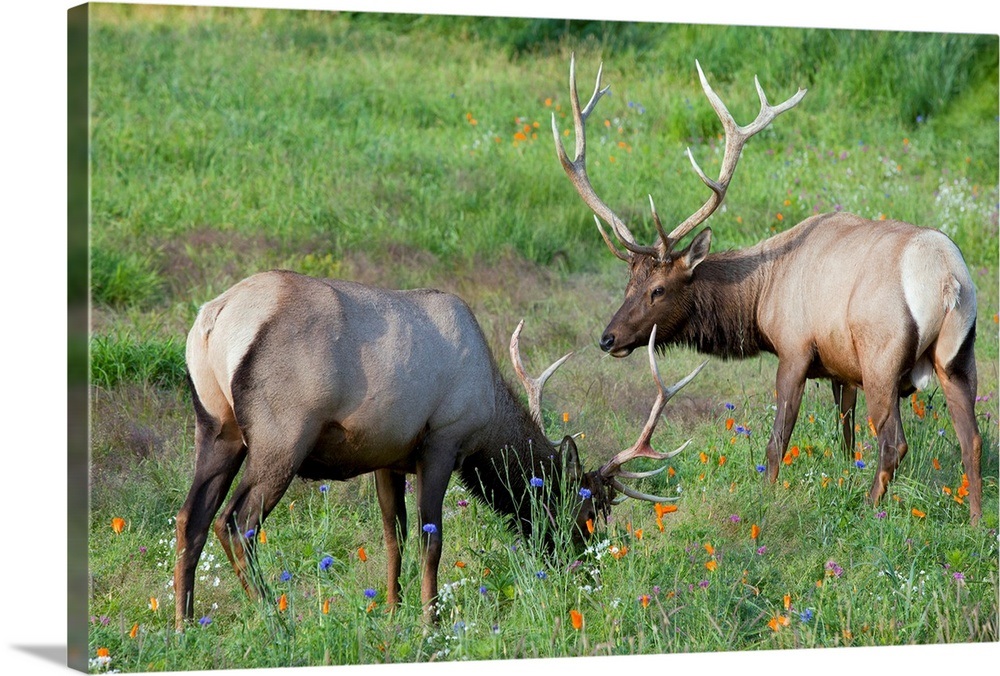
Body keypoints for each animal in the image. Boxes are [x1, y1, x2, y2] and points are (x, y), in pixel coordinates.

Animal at [174, 269, 704, 629]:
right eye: (589, 509)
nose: (587, 569)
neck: (489, 416)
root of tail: (212, 320)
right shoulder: (443, 440)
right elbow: (432, 540)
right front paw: (430, 620)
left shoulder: (386, 456)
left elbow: (393, 536)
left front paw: (393, 611)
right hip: (281, 435)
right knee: (236, 522)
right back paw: (275, 617)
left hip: (217, 427)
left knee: (190, 518)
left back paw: (184, 625)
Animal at [552, 56, 982, 525]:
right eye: (630, 282)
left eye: (659, 289)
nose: (607, 338)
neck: (761, 297)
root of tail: (948, 280)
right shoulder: (841, 367)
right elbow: (846, 437)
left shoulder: (794, 349)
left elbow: (778, 441)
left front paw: (767, 496)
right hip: (958, 358)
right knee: (971, 440)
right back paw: (977, 523)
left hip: (882, 358)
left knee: (894, 443)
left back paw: (870, 512)